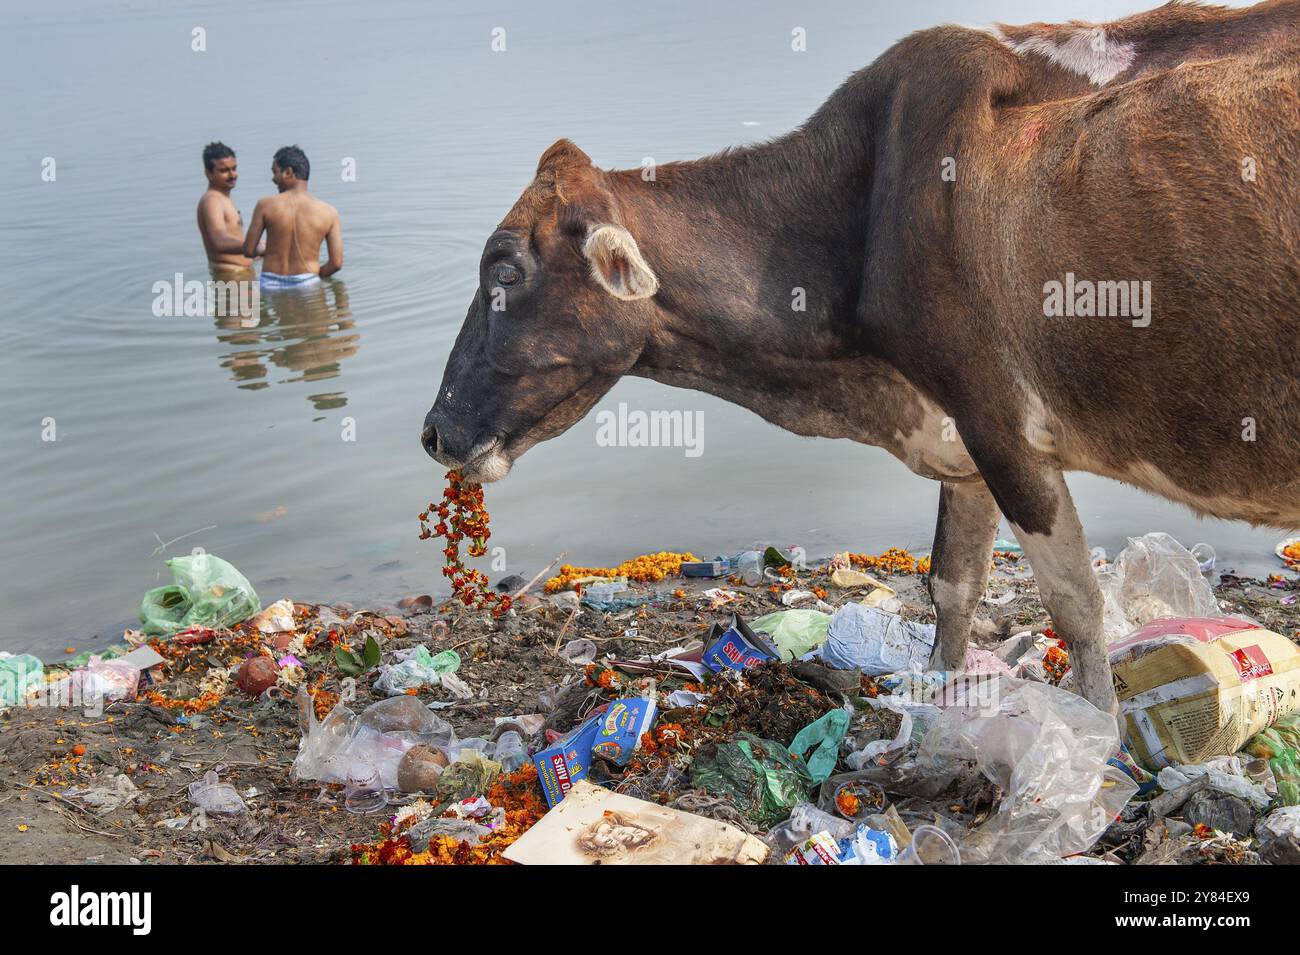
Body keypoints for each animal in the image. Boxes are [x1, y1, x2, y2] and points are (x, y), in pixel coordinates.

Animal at [422, 0, 1300, 717]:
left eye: (505, 269)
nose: (434, 431)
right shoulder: (959, 431)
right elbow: (952, 584)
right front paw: (941, 715)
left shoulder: (999, 417)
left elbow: (1076, 600)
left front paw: (1097, 742)